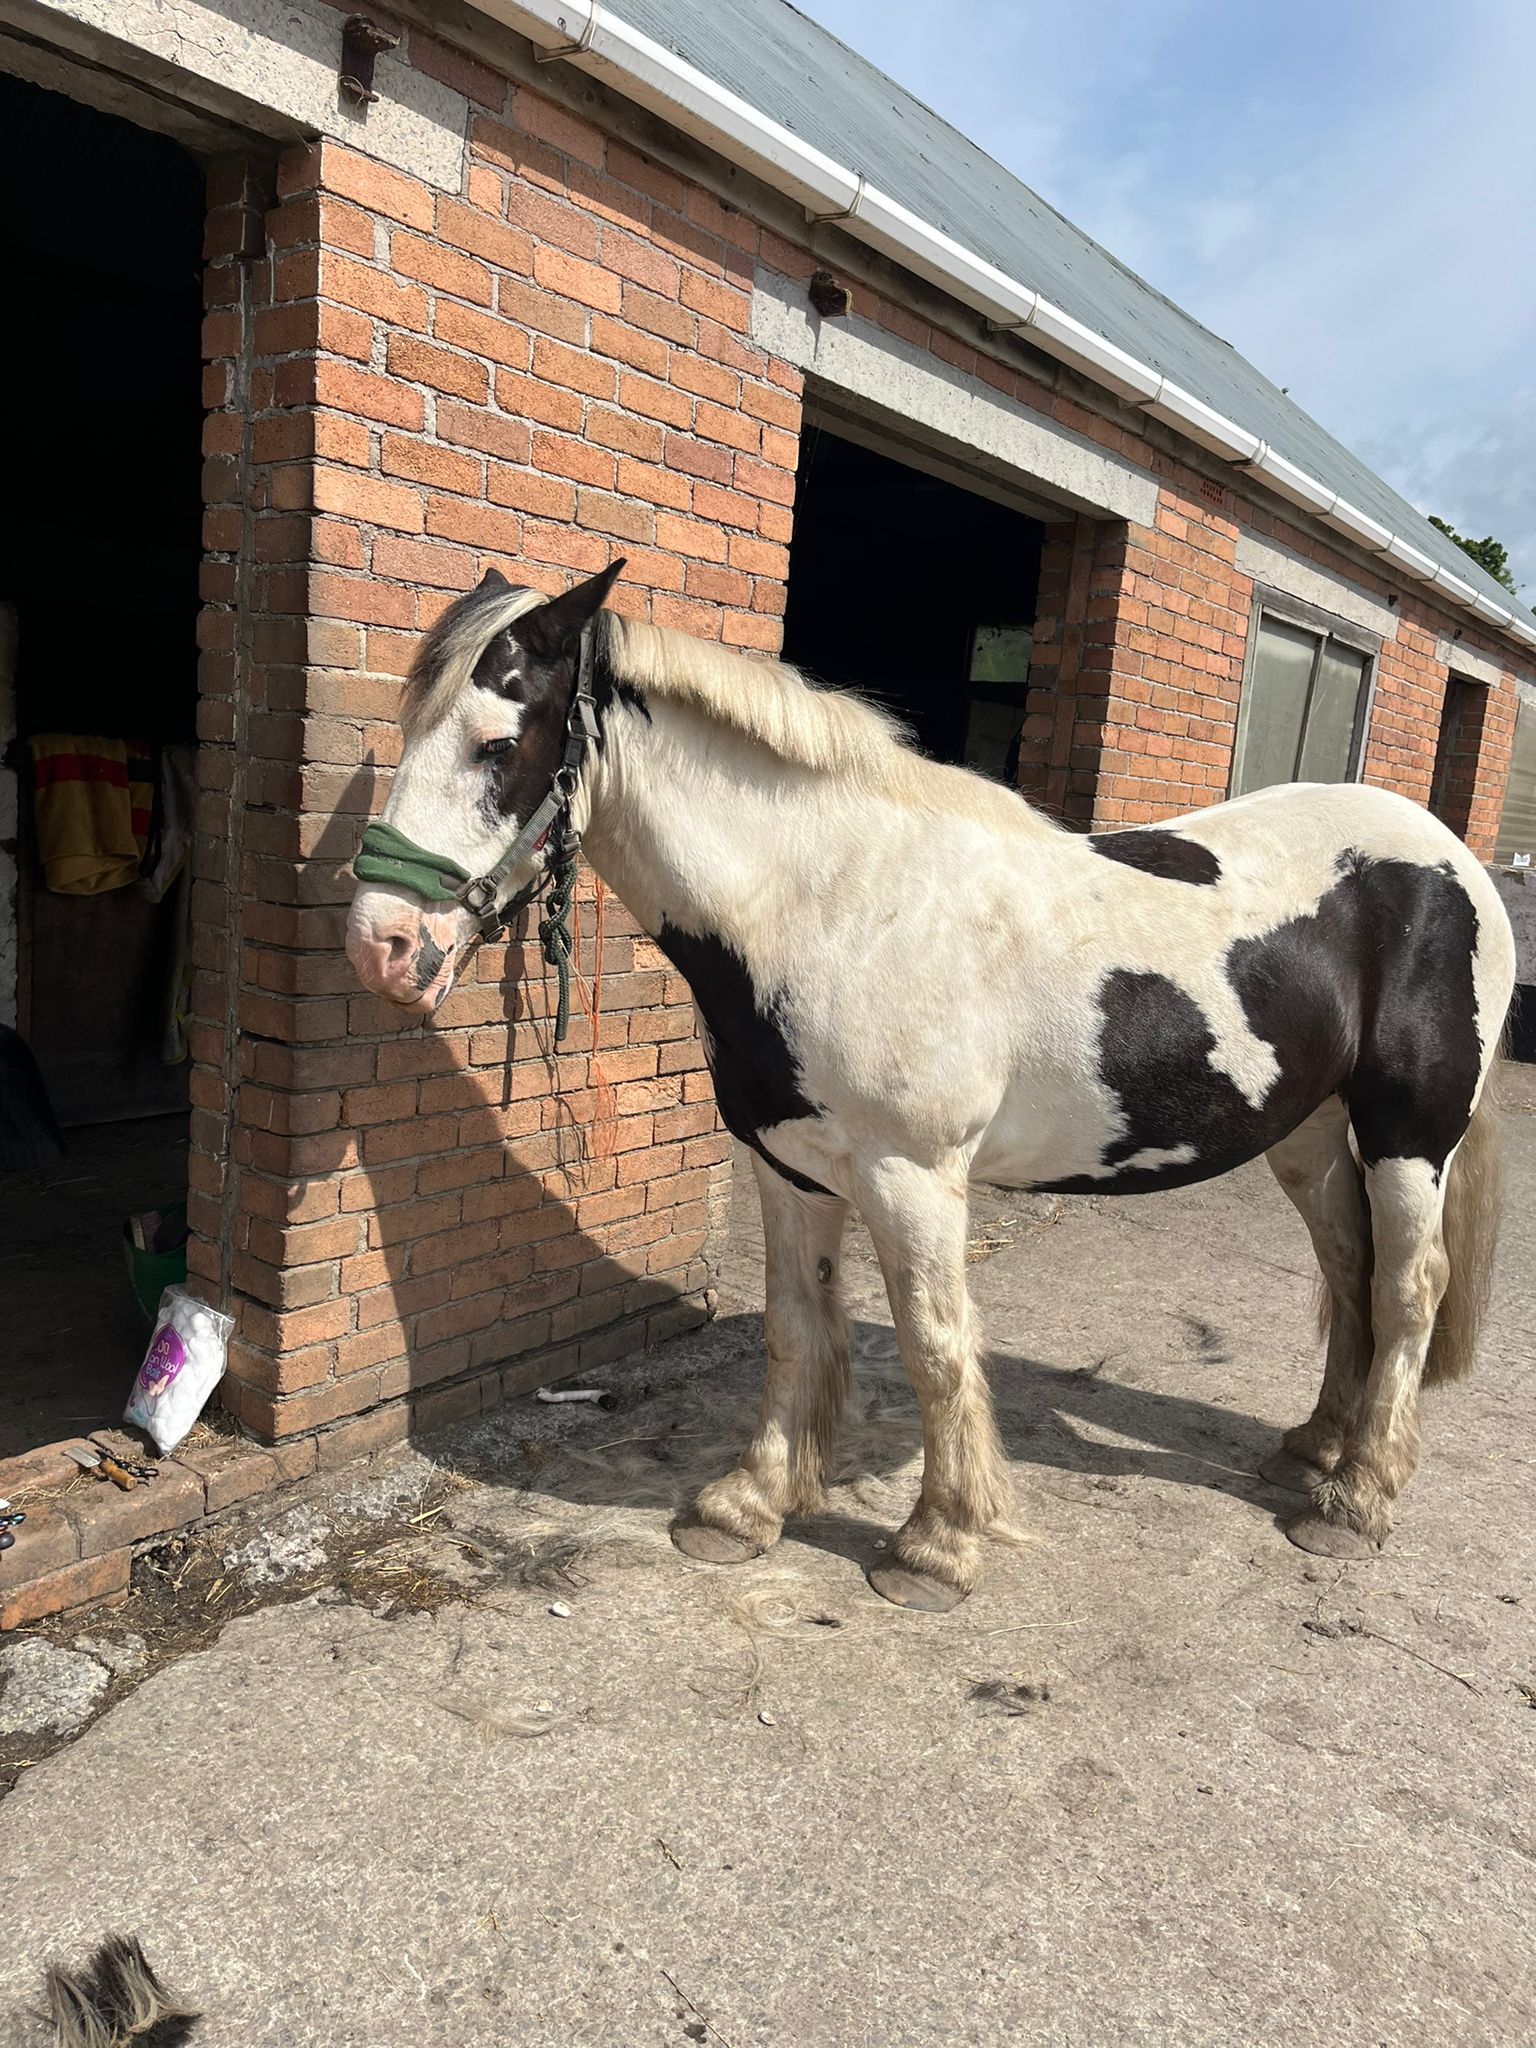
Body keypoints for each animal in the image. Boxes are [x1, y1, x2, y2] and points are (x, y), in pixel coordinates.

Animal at [346, 563, 1515, 1612]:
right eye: (407, 730)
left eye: (500, 745)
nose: (383, 945)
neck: (833, 906)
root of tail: (1450, 855)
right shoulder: (788, 1169)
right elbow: (794, 1325)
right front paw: (749, 1506)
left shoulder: (914, 1179)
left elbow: (936, 1346)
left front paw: (937, 1547)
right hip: (1310, 1136)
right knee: (1350, 1269)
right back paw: (1313, 1450)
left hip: (1410, 1134)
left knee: (1409, 1286)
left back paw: (1356, 1498)